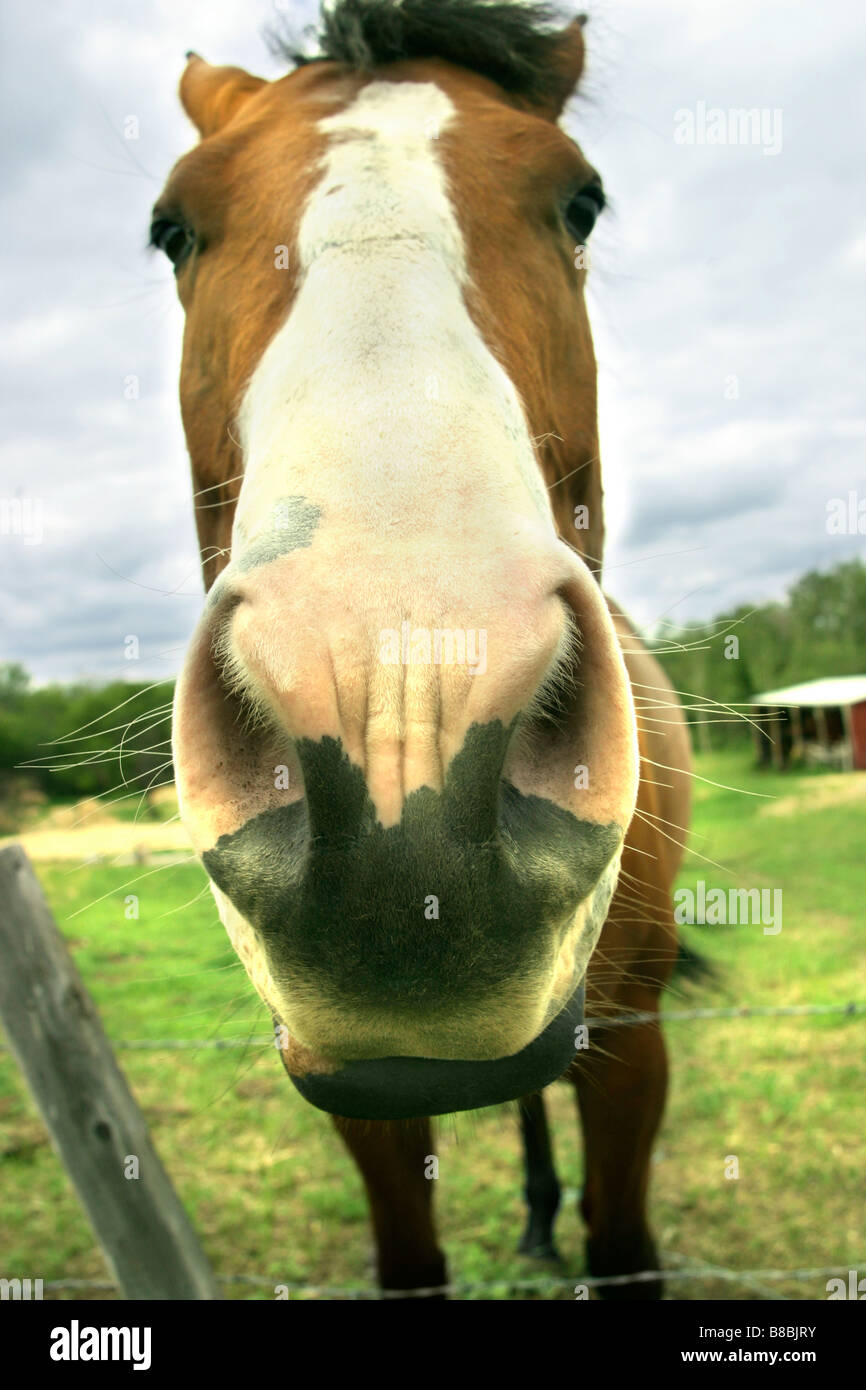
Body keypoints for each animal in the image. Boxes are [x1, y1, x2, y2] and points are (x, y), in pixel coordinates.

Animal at [153, 0, 691, 1299]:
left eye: (579, 202)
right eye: (173, 229)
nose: (400, 718)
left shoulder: (632, 1044)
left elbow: (623, 1248)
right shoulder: (358, 1093)